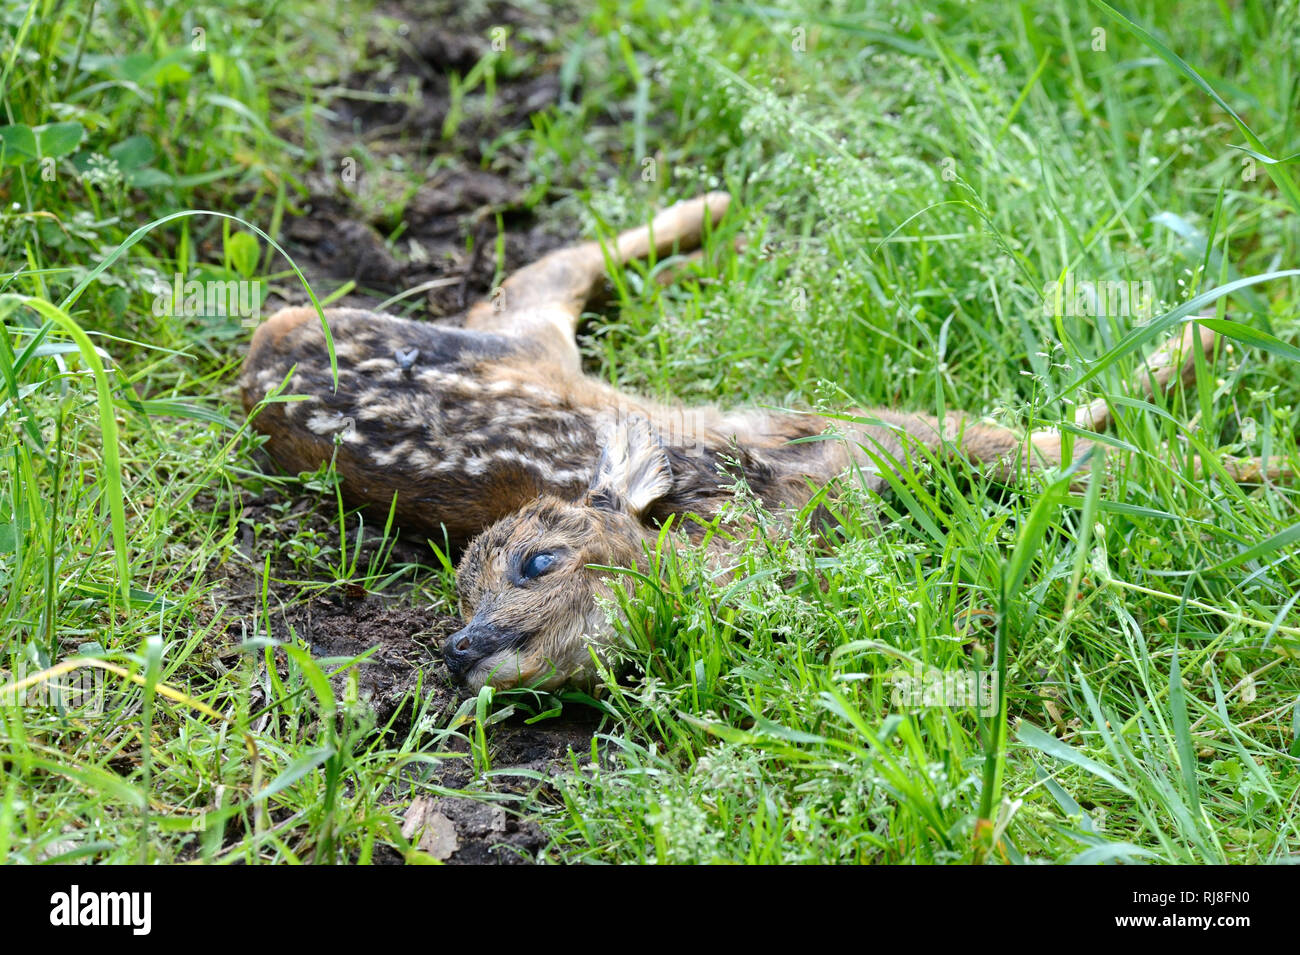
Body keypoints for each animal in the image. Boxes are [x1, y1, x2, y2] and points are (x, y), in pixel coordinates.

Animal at [240, 192, 1281, 695]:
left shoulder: (852, 438)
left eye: (537, 560)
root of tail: (263, 344)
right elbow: (1052, 441)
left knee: (567, 262)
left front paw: (1251, 450)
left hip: (517, 338)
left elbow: (1045, 439)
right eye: (456, 590)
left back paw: (718, 215)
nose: (459, 647)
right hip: (520, 335)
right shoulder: (850, 454)